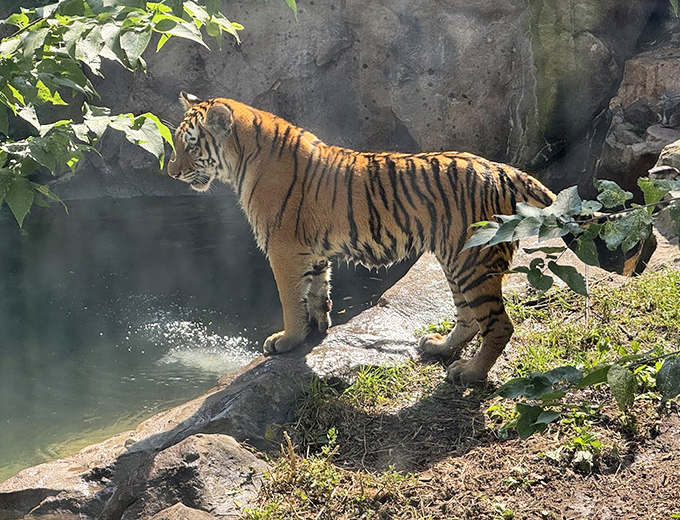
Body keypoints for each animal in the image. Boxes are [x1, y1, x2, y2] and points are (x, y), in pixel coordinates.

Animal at [167, 92, 642, 385]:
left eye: (189, 144)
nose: (170, 172)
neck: (240, 159)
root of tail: (506, 170)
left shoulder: (284, 250)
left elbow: (290, 299)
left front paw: (285, 341)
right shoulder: (312, 252)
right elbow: (317, 291)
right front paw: (318, 329)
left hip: (473, 265)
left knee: (498, 324)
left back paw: (470, 374)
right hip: (457, 260)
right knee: (469, 318)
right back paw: (438, 348)